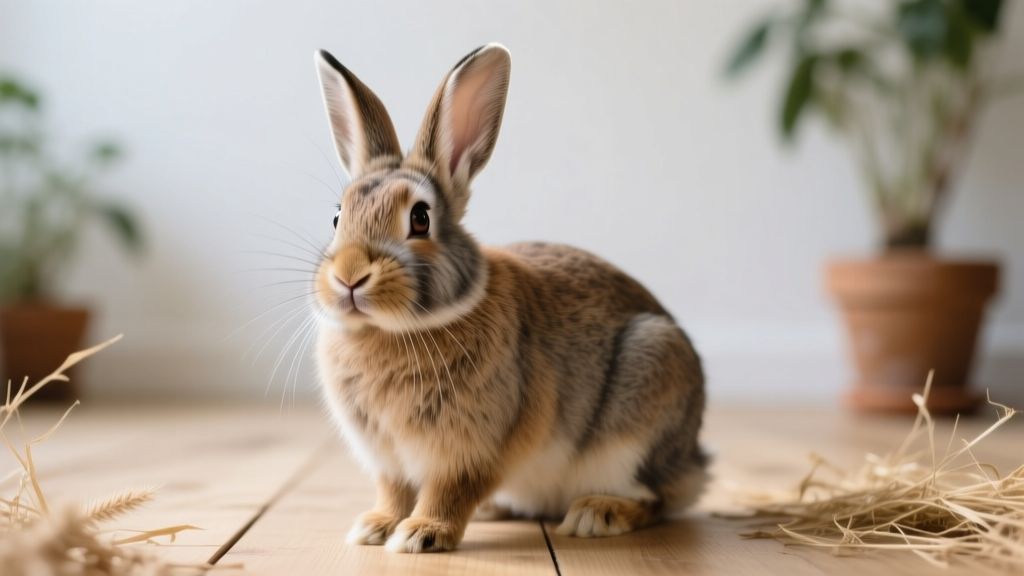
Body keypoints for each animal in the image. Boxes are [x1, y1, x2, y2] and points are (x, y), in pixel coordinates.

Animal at [312, 43, 706, 554]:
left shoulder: (474, 449)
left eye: (420, 218)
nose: (349, 277)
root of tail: (696, 461)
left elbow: (451, 489)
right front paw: (375, 527)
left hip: (643, 403)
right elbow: (394, 491)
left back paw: (597, 514)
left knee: (656, 498)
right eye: (338, 217)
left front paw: (421, 534)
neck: (394, 331)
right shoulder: (388, 458)